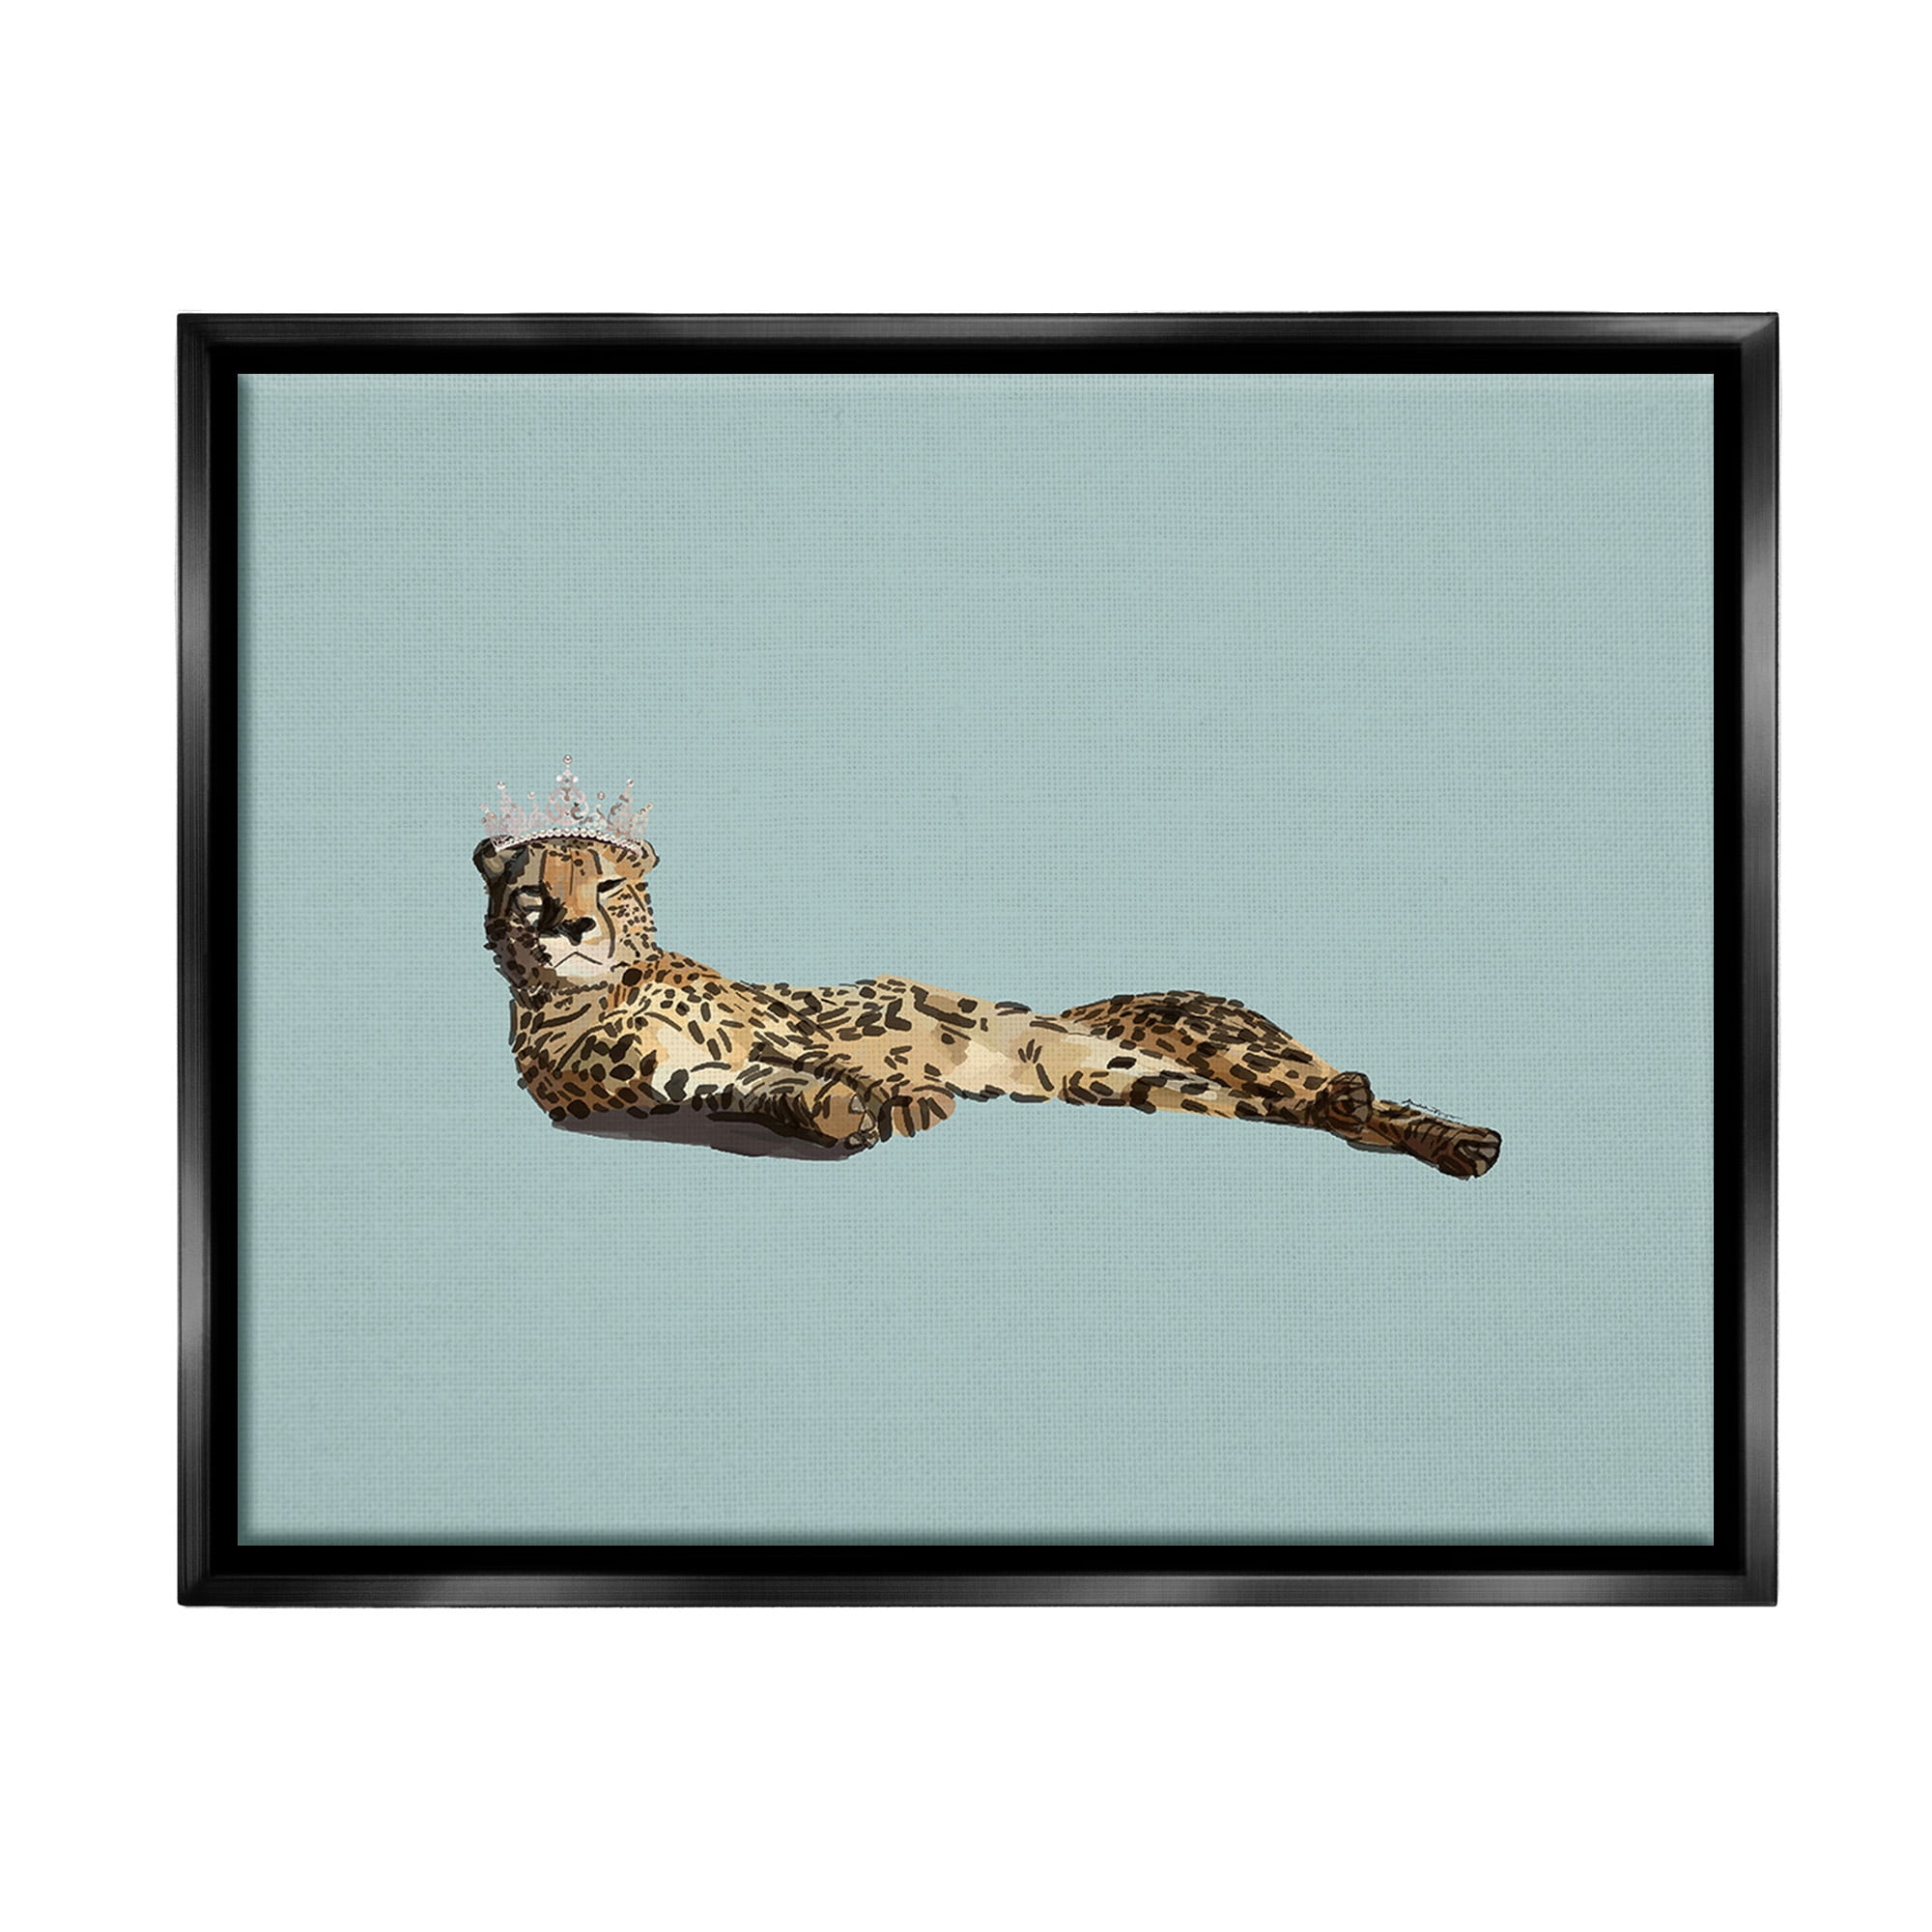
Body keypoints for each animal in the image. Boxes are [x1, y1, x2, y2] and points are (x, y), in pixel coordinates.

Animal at [473, 825, 1501, 1178]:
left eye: (606, 885)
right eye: (535, 893)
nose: (573, 927)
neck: (597, 994)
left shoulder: (787, 1025)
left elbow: (828, 1052)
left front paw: (903, 1095)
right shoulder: (682, 1086)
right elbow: (777, 1094)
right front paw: (847, 1110)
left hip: (1223, 1048)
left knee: (1329, 1094)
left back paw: (1451, 1134)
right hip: (1141, 1081)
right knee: (1304, 1113)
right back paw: (1416, 1131)